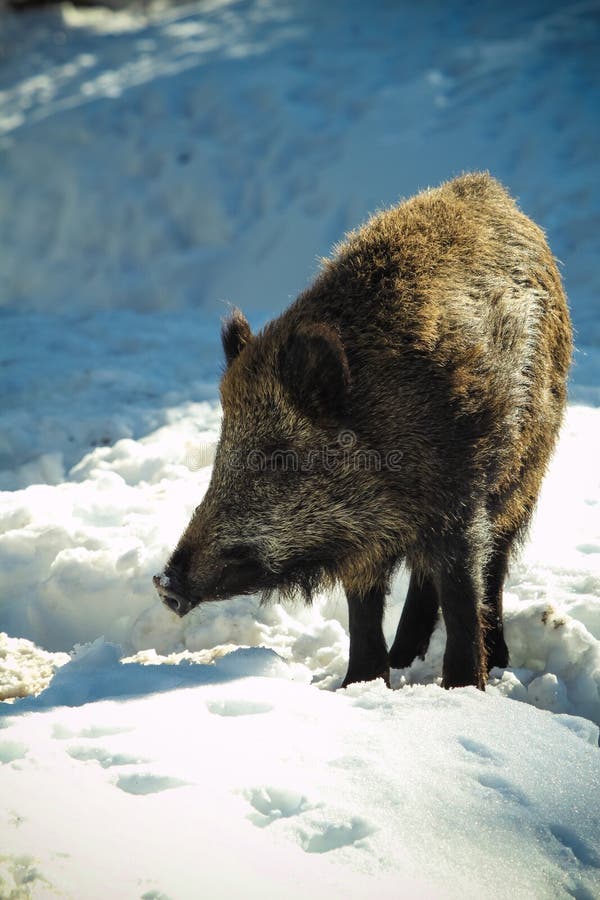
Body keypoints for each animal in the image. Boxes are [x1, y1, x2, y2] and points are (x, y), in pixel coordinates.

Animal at [154, 172, 572, 690]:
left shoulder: (460, 504)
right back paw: (404, 657)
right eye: (221, 448)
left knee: (492, 566)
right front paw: (361, 684)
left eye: (279, 456)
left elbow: (461, 594)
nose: (164, 583)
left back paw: (494, 662)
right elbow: (363, 609)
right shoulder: (364, 541)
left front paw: (463, 690)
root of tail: (493, 191)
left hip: (527, 471)